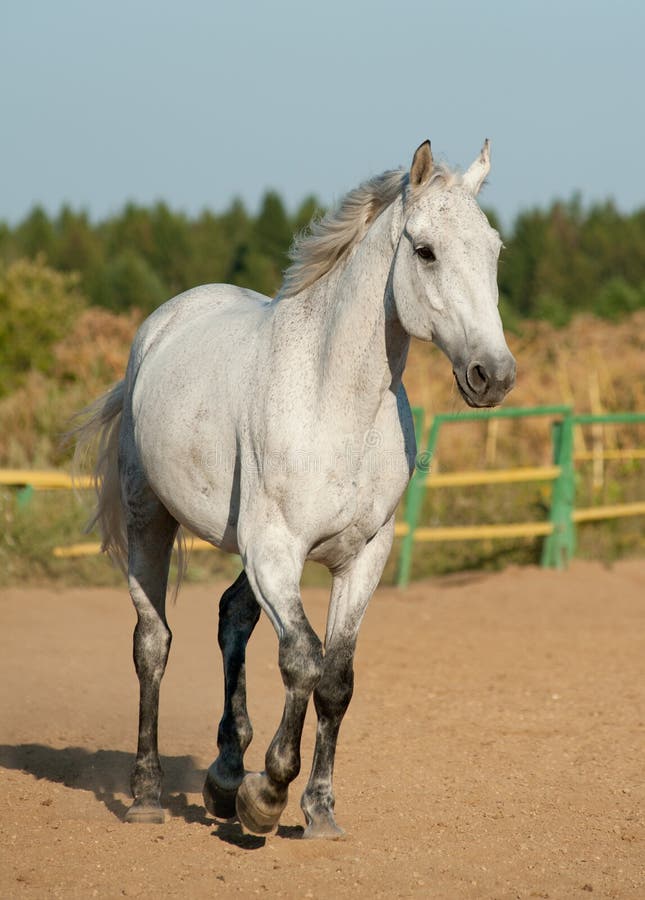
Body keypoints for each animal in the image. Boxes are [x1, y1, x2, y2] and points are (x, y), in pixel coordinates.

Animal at [73, 139, 516, 838]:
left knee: (233, 616)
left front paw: (318, 811)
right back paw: (148, 795)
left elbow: (335, 677)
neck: (335, 399)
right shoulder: (276, 551)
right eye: (425, 251)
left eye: (494, 250)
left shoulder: (361, 556)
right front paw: (269, 793)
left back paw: (224, 774)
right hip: (152, 524)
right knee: (153, 643)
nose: (492, 375)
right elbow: (302, 659)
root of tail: (160, 328)